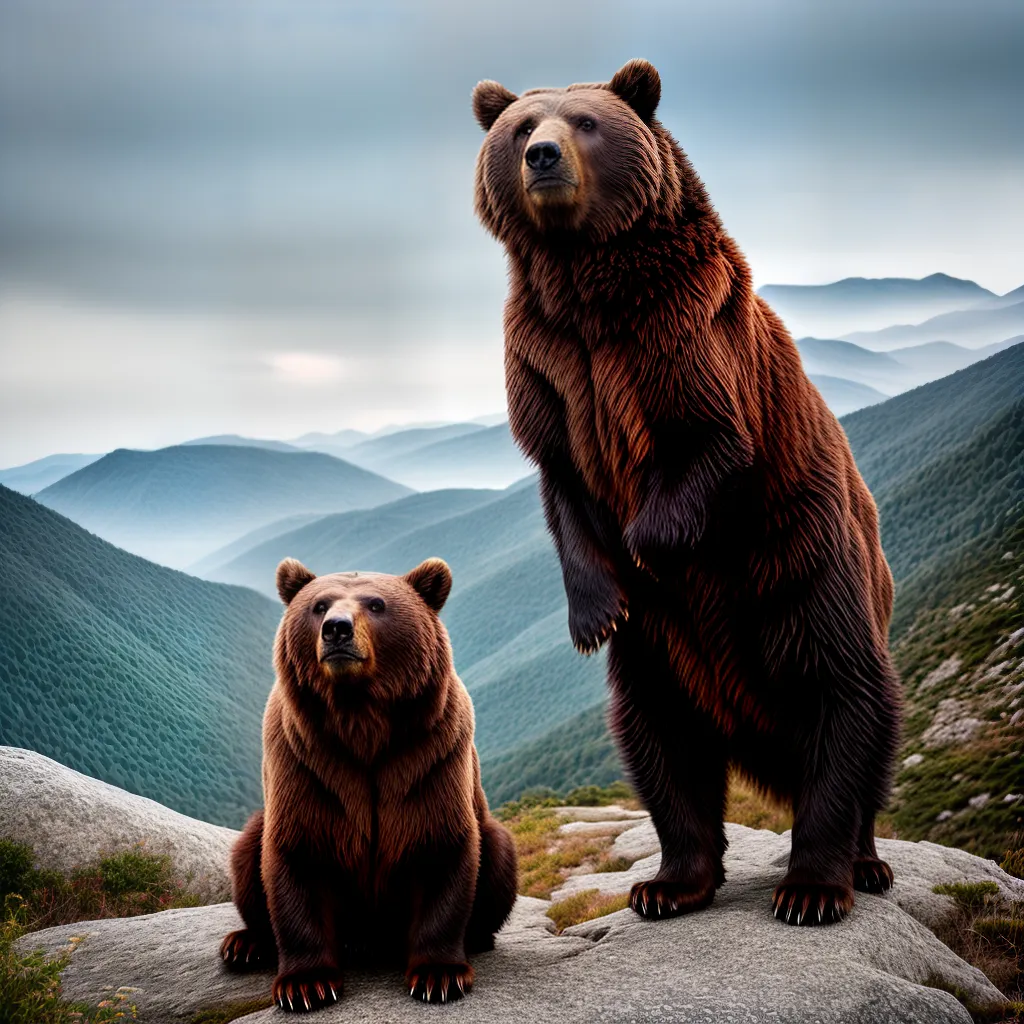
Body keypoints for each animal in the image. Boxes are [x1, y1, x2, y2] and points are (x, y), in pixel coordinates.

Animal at [220, 557, 518, 1010]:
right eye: (319, 605)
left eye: (376, 604)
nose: (337, 629)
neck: (362, 721)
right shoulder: (306, 762)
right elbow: (297, 853)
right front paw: (305, 984)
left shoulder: (428, 758)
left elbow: (440, 847)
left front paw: (439, 975)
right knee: (247, 853)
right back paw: (245, 944)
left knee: (498, 852)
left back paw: (476, 936)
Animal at [472, 59, 901, 927]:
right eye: (519, 124)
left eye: (586, 121)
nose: (541, 156)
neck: (583, 282)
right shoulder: (546, 367)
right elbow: (563, 491)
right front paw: (596, 612)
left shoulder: (683, 339)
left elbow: (706, 443)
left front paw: (649, 549)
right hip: (664, 655)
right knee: (659, 734)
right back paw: (670, 881)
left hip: (805, 571)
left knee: (843, 703)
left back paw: (826, 879)